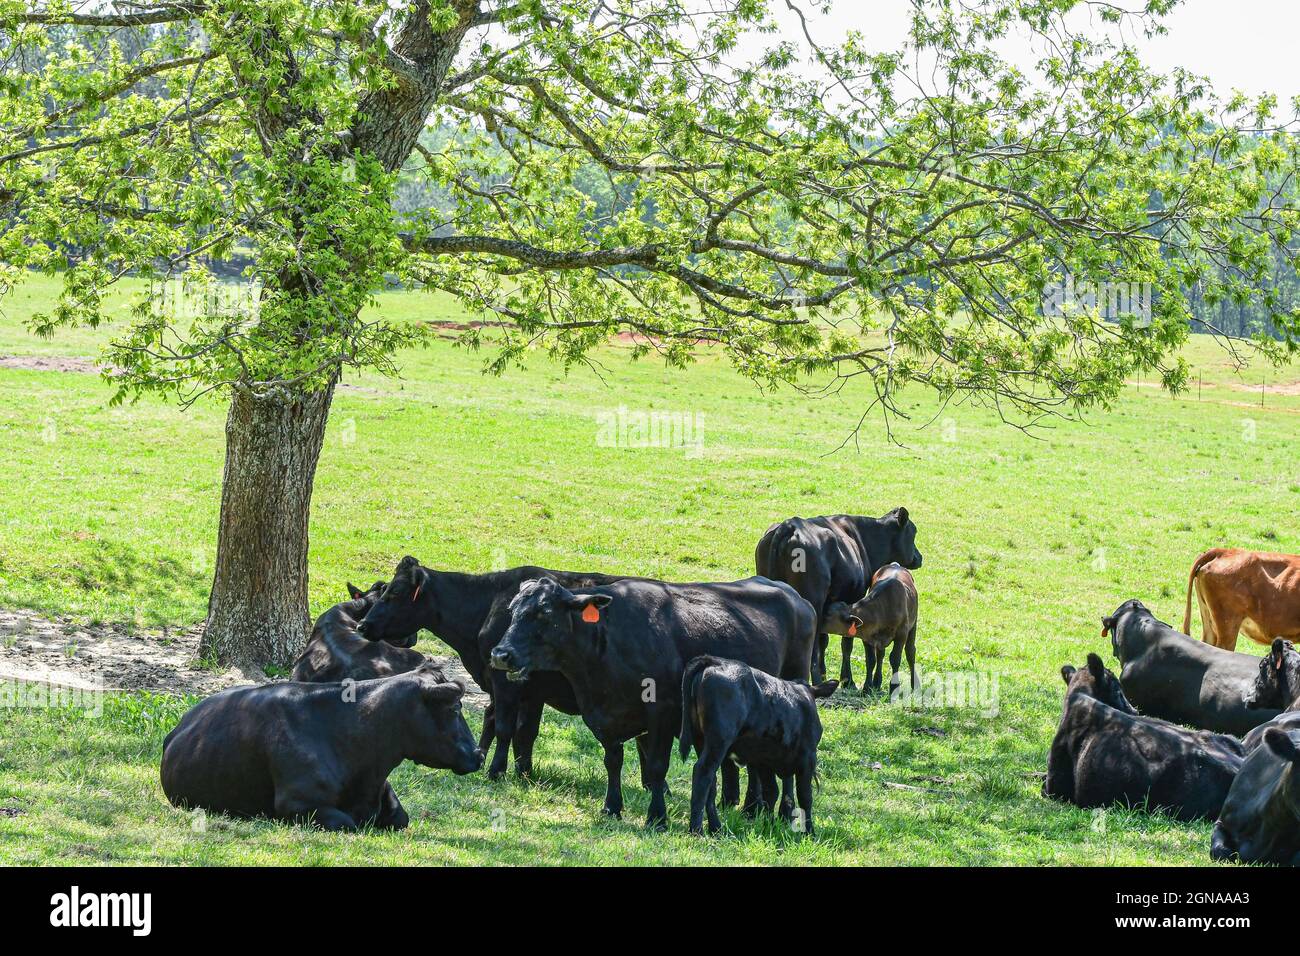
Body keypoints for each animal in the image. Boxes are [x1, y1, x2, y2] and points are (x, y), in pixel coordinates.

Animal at [488, 575, 817, 830]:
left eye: (544, 612)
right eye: (513, 609)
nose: (501, 654)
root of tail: (793, 595)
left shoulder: (662, 713)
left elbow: (657, 766)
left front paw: (657, 817)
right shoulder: (603, 716)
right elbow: (613, 761)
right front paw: (612, 807)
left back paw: (775, 810)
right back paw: (753, 809)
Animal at [679, 655, 836, 835]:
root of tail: (714, 662)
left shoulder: (764, 760)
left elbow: (772, 792)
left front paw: (769, 825)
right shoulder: (807, 758)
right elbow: (805, 796)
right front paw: (809, 831)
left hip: (700, 739)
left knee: (710, 784)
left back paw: (716, 828)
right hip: (718, 740)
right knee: (703, 773)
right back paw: (697, 829)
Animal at [822, 562, 918, 693]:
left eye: (827, 615)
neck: (881, 609)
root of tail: (895, 564)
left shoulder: (901, 634)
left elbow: (895, 659)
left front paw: (894, 687)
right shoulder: (867, 635)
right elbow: (871, 660)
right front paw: (867, 688)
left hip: (913, 623)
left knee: (910, 652)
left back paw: (915, 685)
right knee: (880, 654)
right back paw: (877, 683)